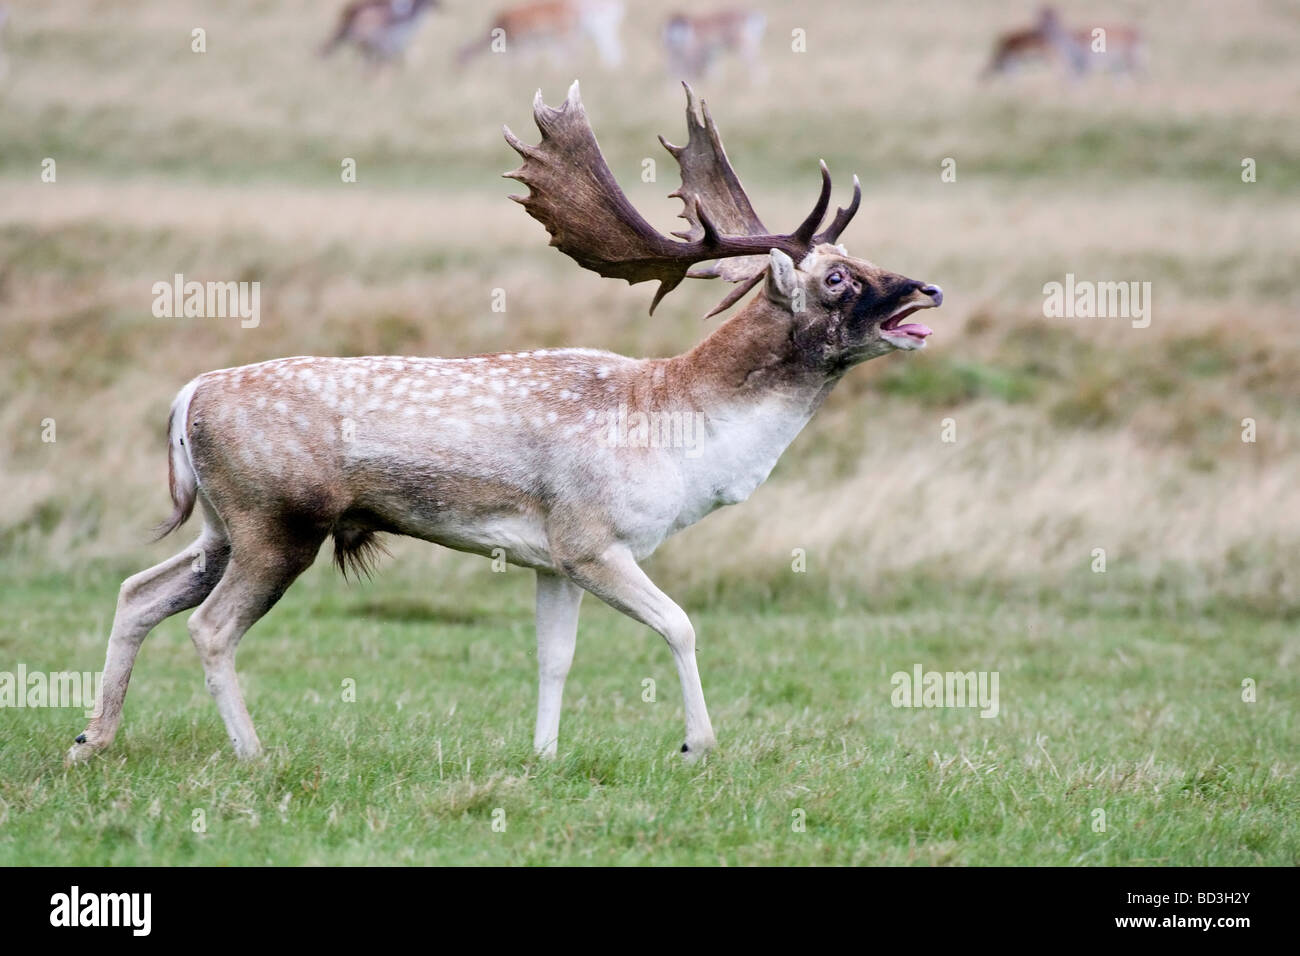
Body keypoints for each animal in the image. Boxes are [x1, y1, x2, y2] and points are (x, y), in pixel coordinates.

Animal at [65, 82, 942, 767]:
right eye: (837, 277)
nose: (927, 289)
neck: (681, 430)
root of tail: (188, 397)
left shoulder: (549, 559)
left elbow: (555, 657)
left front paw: (543, 755)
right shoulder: (592, 537)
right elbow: (682, 624)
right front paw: (698, 744)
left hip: (223, 523)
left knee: (138, 591)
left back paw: (91, 739)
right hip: (277, 521)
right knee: (209, 627)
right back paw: (252, 752)